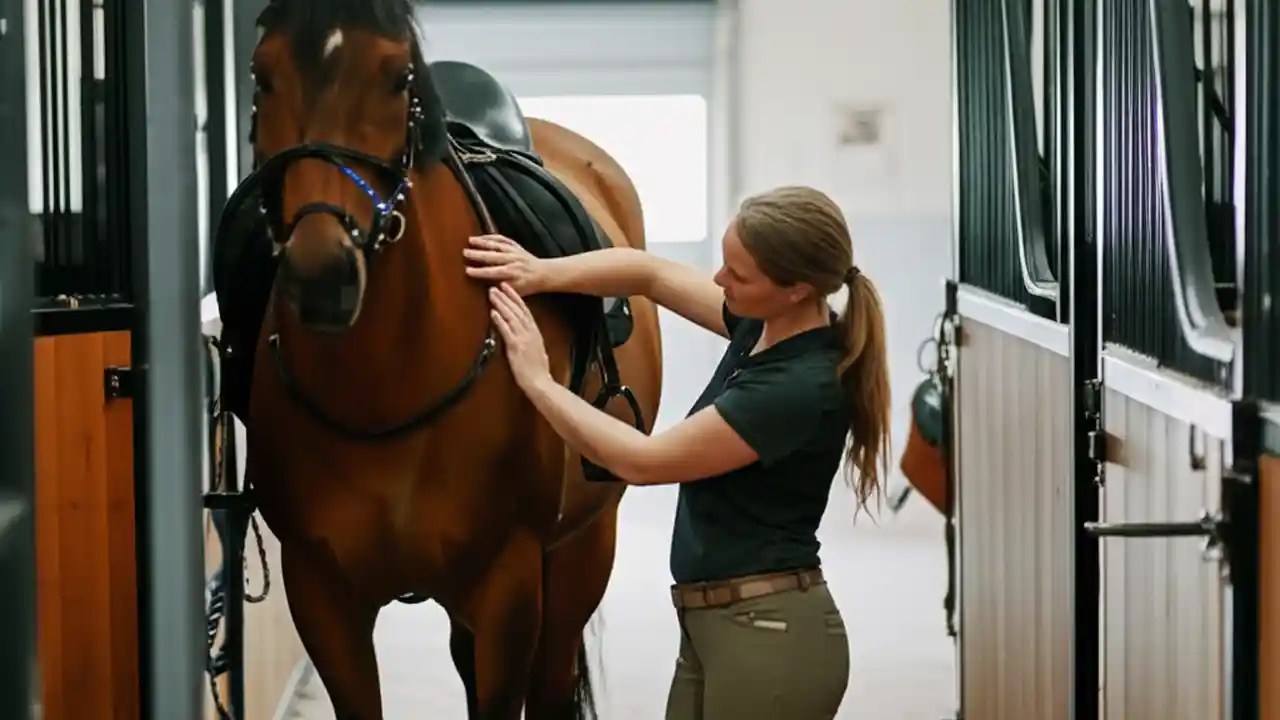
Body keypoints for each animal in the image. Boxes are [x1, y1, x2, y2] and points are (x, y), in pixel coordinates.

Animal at [209, 1, 663, 718]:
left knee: (554, 677)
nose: (322, 277)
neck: (390, 386)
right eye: (262, 74)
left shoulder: (508, 588)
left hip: (584, 550)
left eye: (397, 78)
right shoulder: (321, 593)